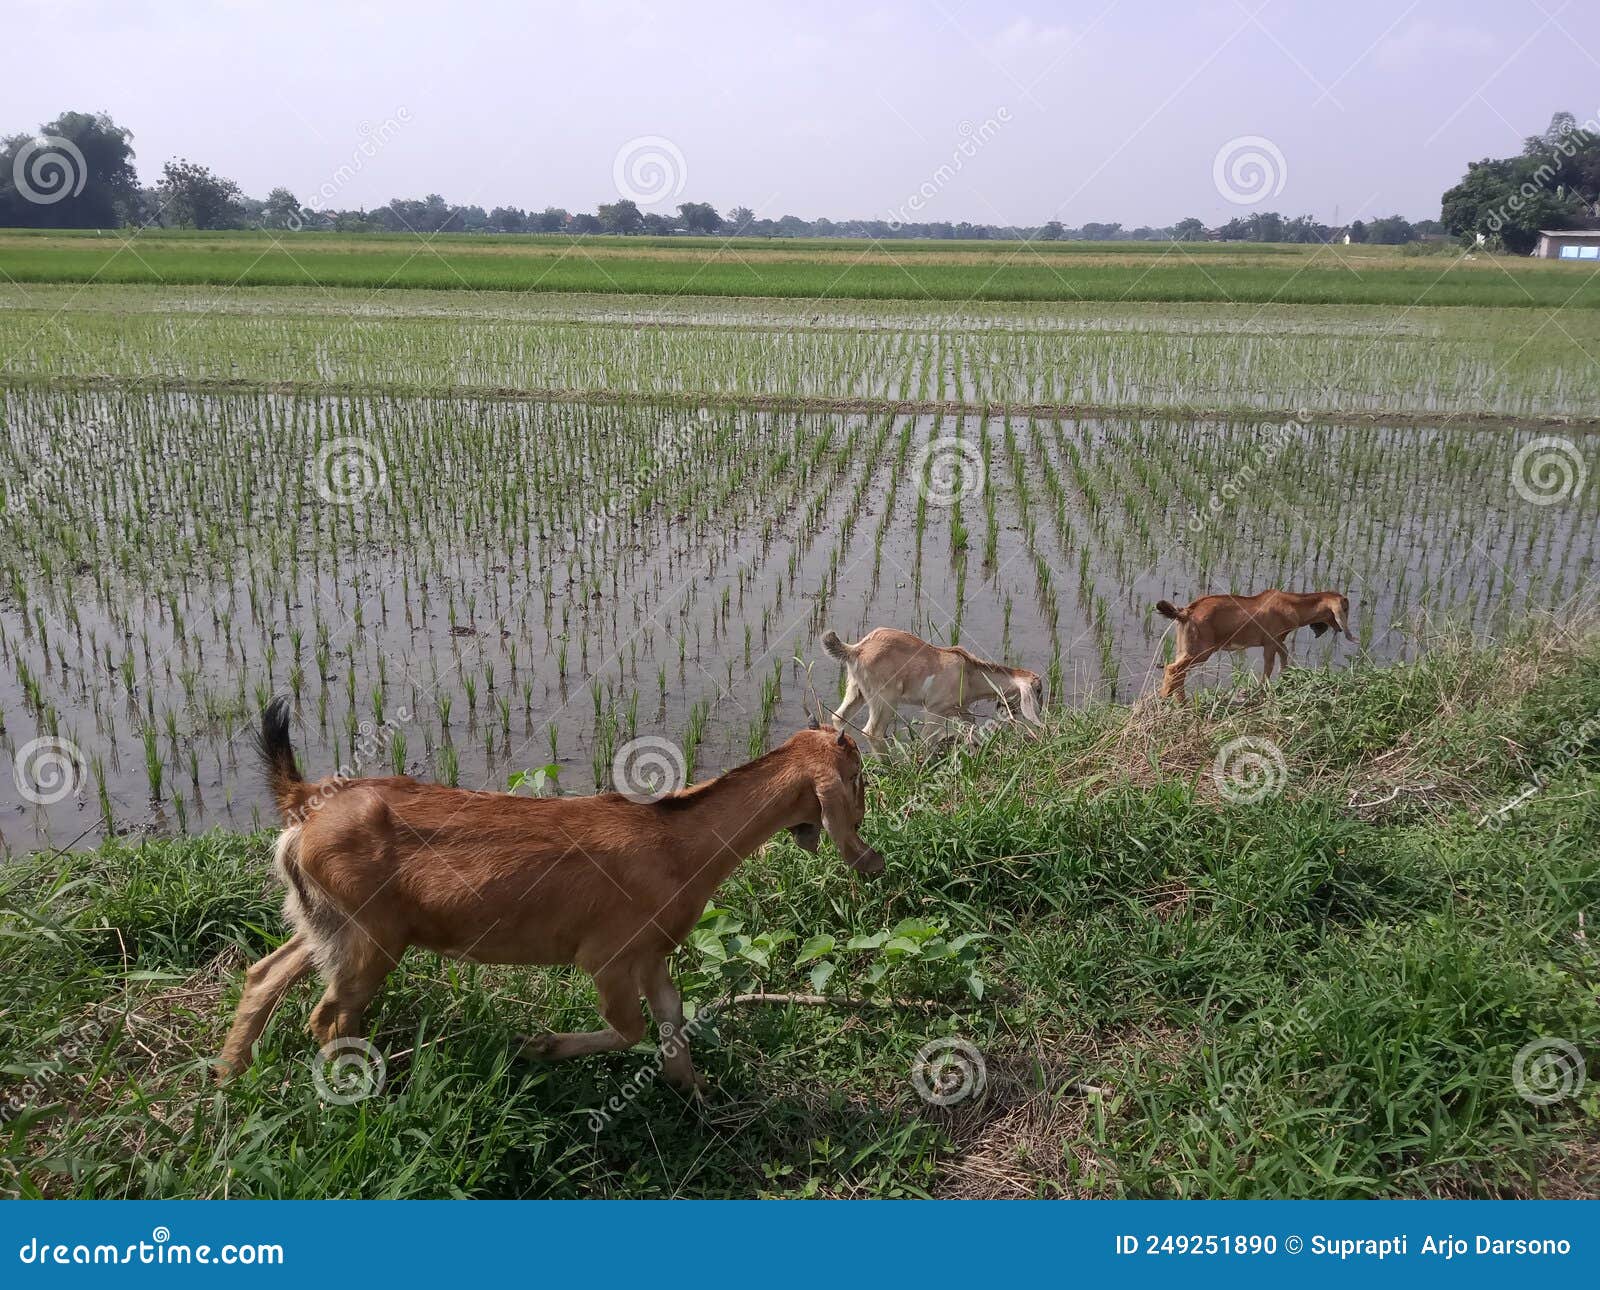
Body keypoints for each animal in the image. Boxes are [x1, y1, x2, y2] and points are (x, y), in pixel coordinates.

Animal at [216, 699, 882, 1091]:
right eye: (858, 781)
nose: (872, 858)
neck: (679, 843)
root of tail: (307, 802)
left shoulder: (653, 953)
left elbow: (672, 1019)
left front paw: (691, 1094)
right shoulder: (608, 956)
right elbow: (630, 1028)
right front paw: (541, 1046)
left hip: (326, 920)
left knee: (267, 972)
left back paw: (230, 1074)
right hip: (370, 935)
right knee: (328, 1015)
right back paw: (355, 1094)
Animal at [821, 627, 1044, 750]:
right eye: (1039, 690)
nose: (1040, 712)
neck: (969, 675)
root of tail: (857, 649)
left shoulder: (960, 709)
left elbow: (971, 727)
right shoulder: (934, 708)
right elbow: (928, 738)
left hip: (855, 689)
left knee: (839, 717)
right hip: (883, 697)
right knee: (873, 731)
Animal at [1155, 589, 1355, 699]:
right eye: (1345, 608)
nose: (1341, 629)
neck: (1292, 604)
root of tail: (1185, 612)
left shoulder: (1279, 641)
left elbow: (1284, 657)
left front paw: (1286, 680)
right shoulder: (1270, 642)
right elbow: (1269, 666)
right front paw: (1262, 692)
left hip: (1185, 648)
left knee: (1177, 672)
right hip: (1201, 651)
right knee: (1173, 669)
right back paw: (1169, 699)